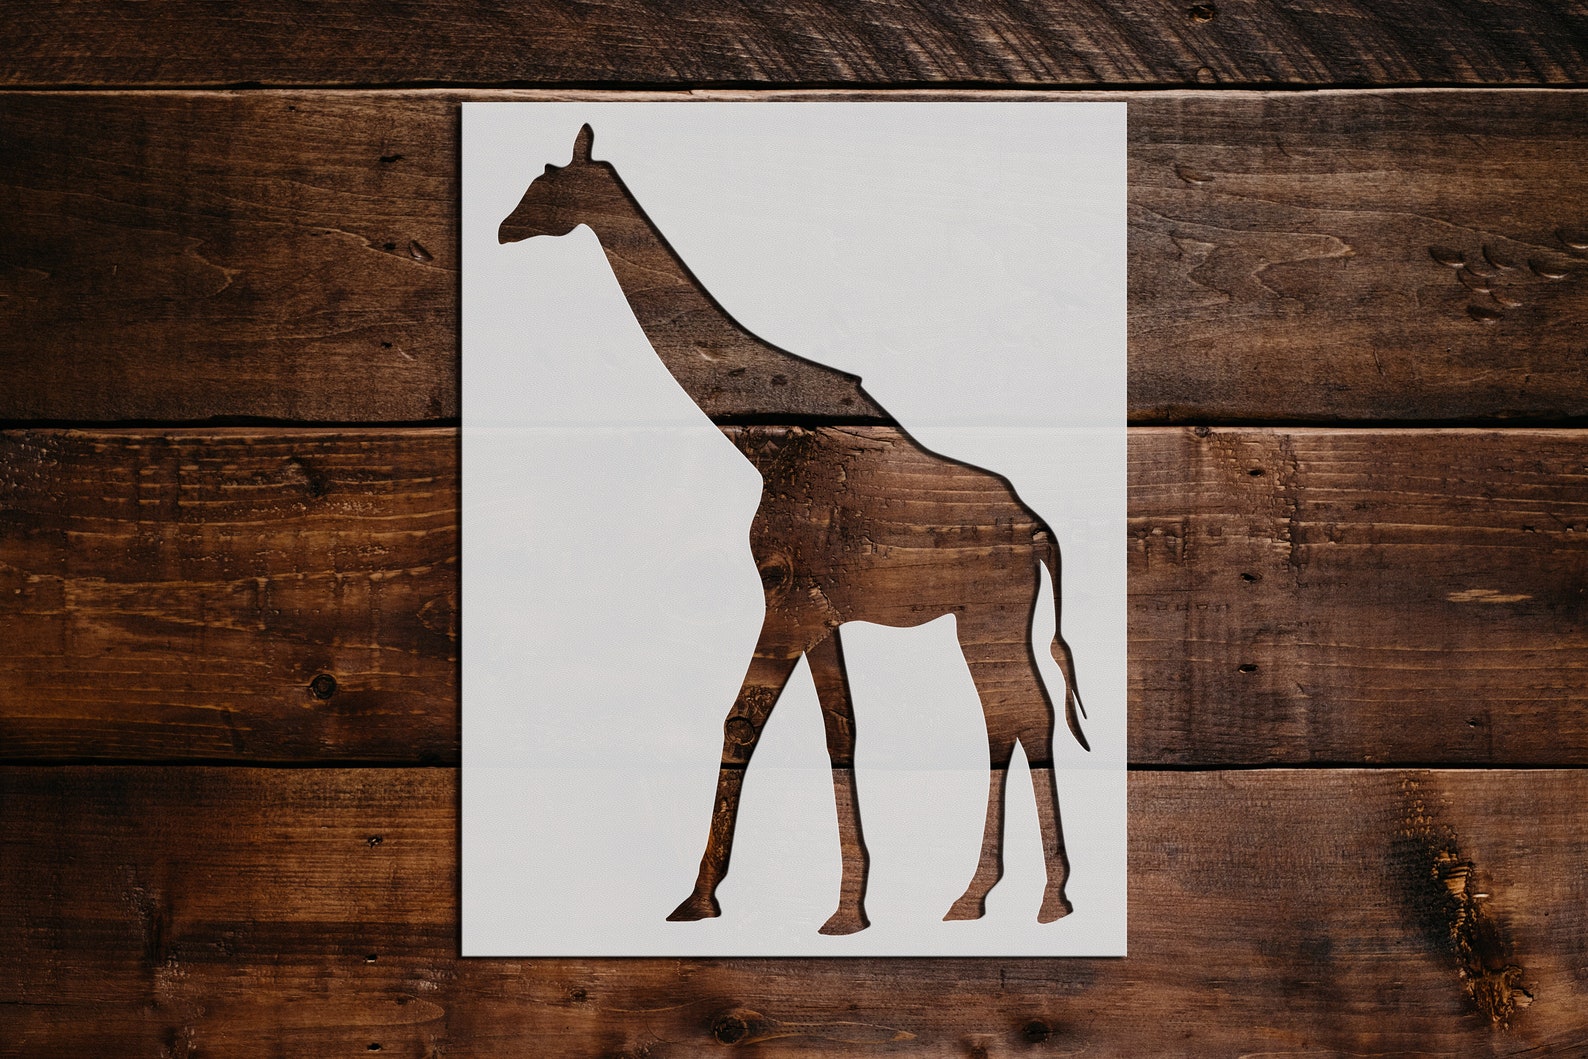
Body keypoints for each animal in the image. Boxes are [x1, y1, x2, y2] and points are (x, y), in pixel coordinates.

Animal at [498, 124, 1088, 934]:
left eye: (546, 182)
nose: (503, 228)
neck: (765, 440)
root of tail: (1040, 533)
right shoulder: (819, 609)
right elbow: (840, 728)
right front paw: (850, 904)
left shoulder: (786, 600)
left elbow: (740, 720)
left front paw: (700, 896)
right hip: (983, 618)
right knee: (1013, 719)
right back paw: (985, 894)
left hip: (989, 615)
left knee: (1022, 715)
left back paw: (1040, 897)